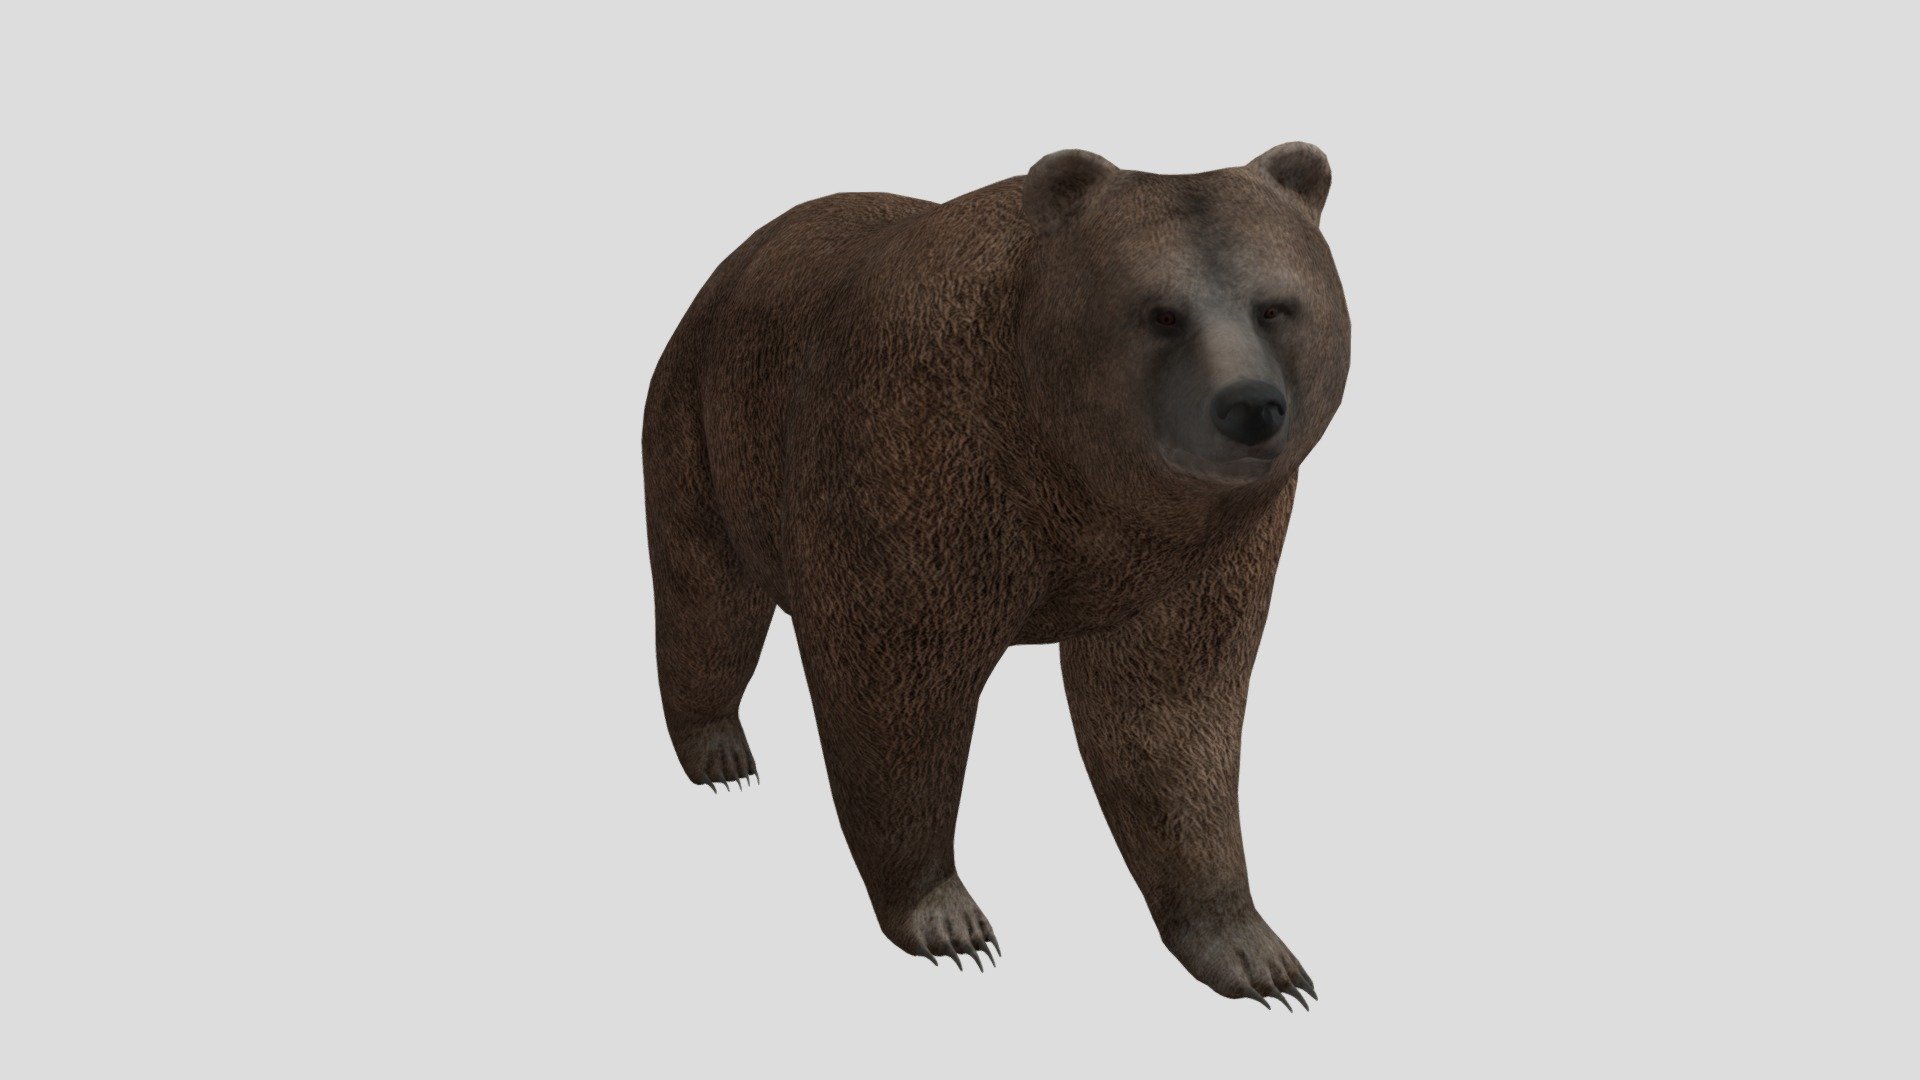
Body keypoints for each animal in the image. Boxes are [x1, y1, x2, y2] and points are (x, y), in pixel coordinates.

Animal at [643, 143, 1350, 1008]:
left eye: (1276, 307)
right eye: (1161, 313)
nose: (1250, 406)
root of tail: (735, 257)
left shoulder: (1204, 548)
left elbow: (1169, 717)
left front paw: (1254, 953)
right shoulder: (922, 462)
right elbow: (897, 687)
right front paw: (946, 916)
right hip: (706, 424)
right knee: (707, 597)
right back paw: (718, 751)